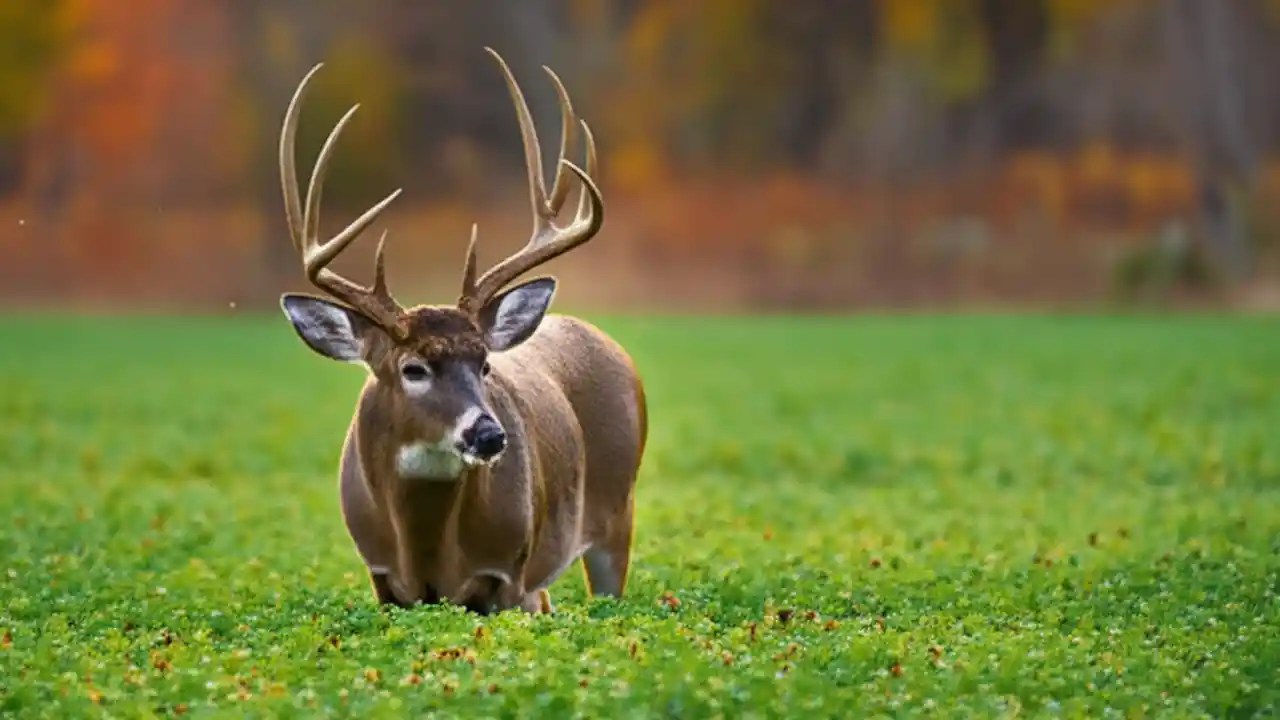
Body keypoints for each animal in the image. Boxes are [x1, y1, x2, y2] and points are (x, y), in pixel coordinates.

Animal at [275, 49, 646, 614]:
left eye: (485, 364)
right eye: (413, 368)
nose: (490, 435)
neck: (427, 549)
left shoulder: (509, 575)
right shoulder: (382, 579)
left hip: (616, 515)